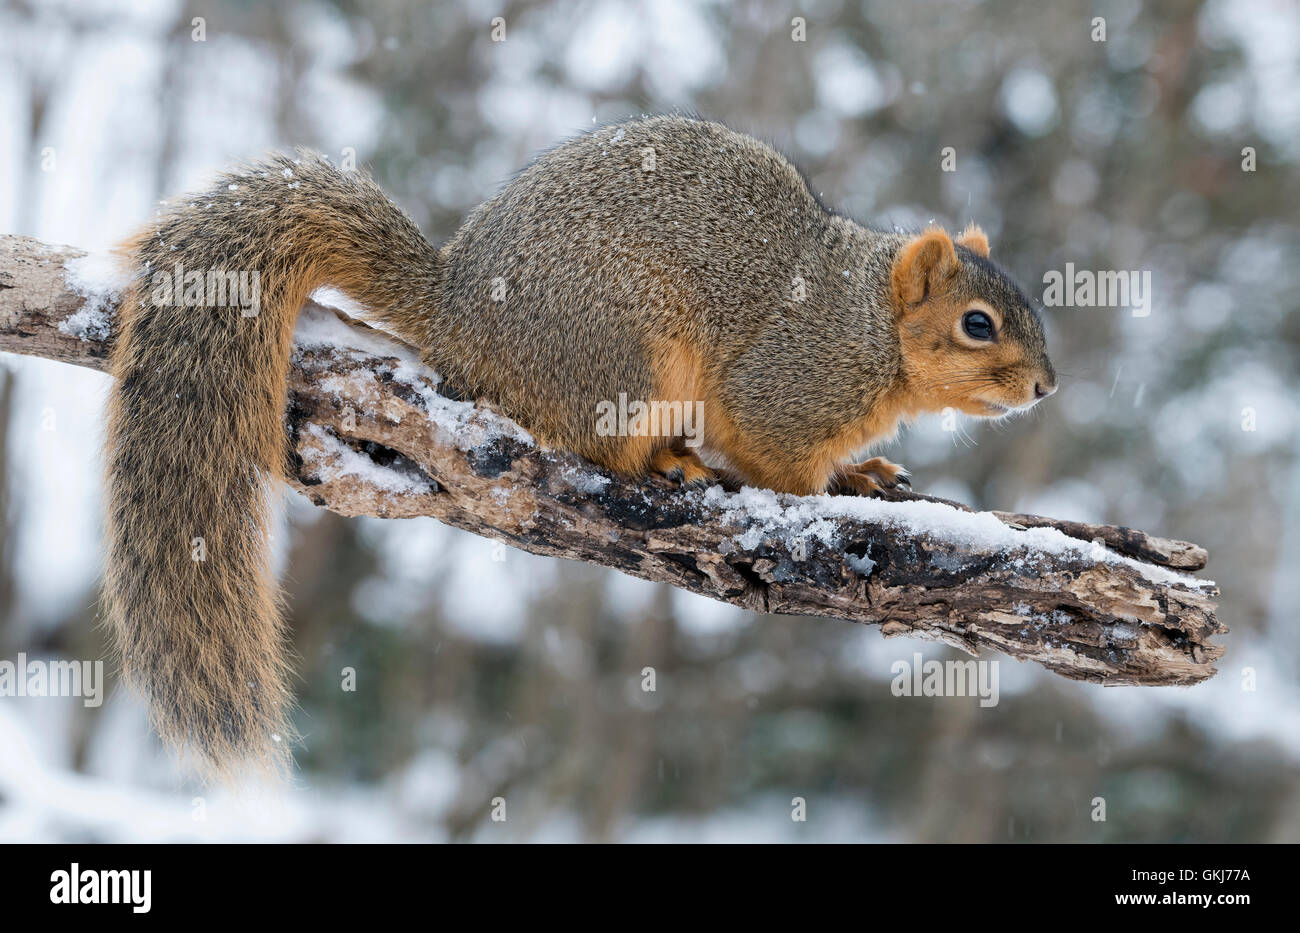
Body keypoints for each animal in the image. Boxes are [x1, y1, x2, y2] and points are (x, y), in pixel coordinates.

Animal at [104, 115, 1056, 773]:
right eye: (977, 323)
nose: (1047, 386)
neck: (870, 324)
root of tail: (457, 312)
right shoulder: (789, 380)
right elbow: (773, 455)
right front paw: (831, 491)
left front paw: (865, 466)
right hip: (625, 353)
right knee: (596, 445)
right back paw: (665, 460)